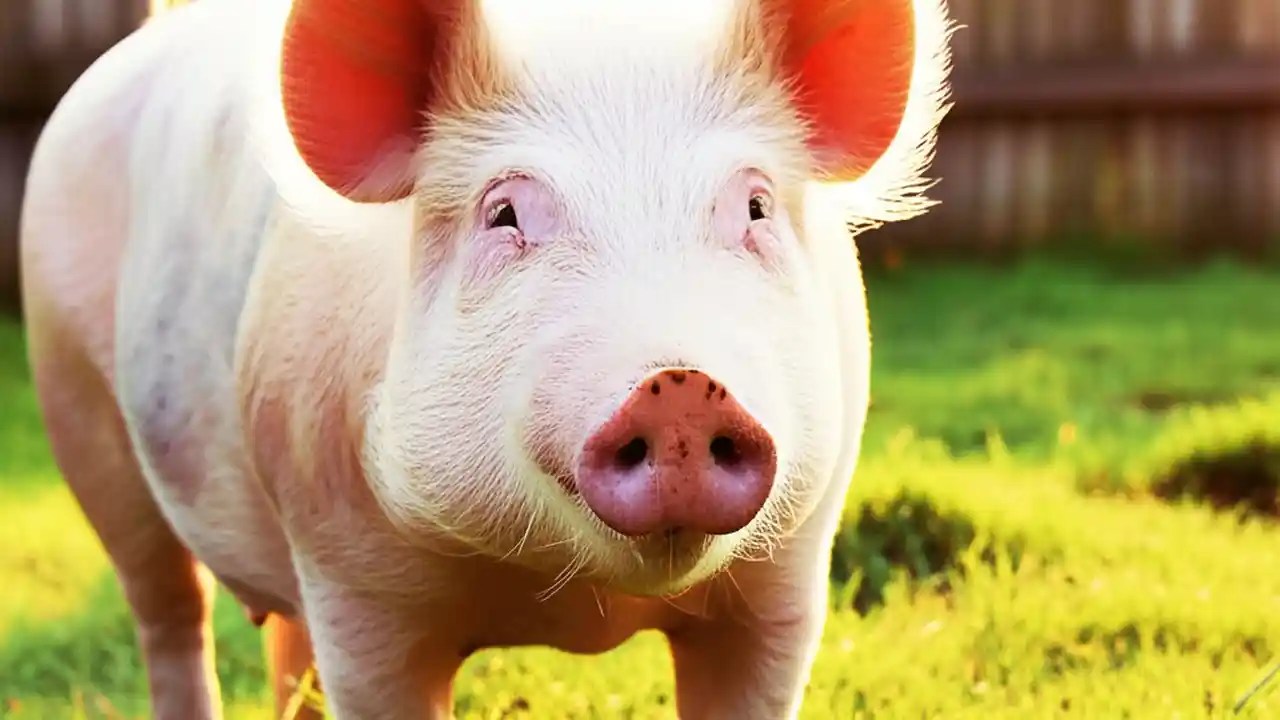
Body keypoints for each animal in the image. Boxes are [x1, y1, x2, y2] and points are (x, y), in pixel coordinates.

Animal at [18, 0, 953, 717]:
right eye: (504, 215)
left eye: (754, 206)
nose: (680, 384)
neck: (566, 597)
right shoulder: (353, 584)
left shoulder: (786, 581)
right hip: (76, 405)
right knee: (170, 611)